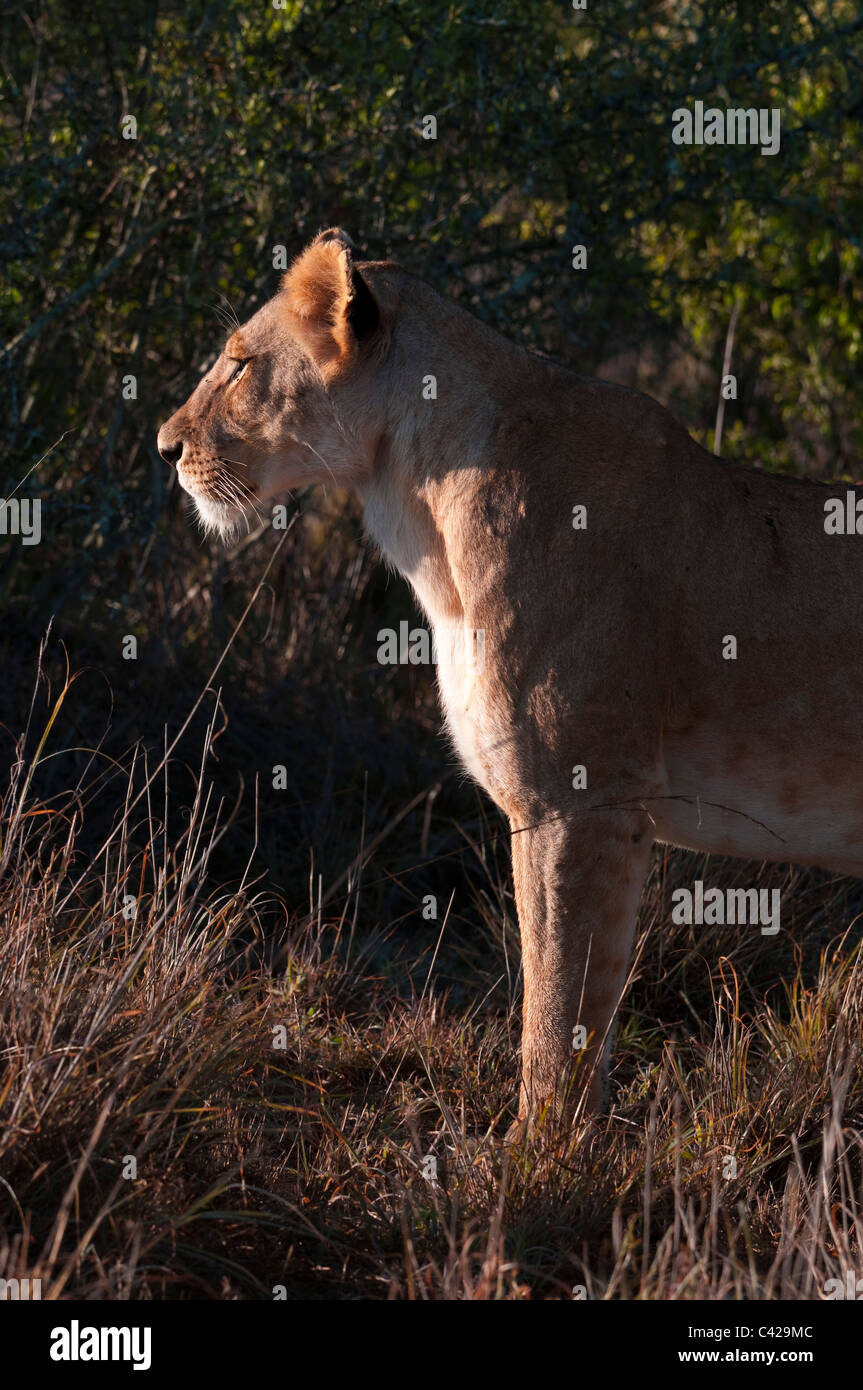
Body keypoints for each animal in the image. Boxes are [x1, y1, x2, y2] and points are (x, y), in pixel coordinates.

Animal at [158, 227, 863, 1128]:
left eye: (241, 364)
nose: (166, 448)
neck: (419, 504)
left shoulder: (577, 800)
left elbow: (556, 1008)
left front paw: (536, 1150)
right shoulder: (592, 810)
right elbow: (578, 1003)